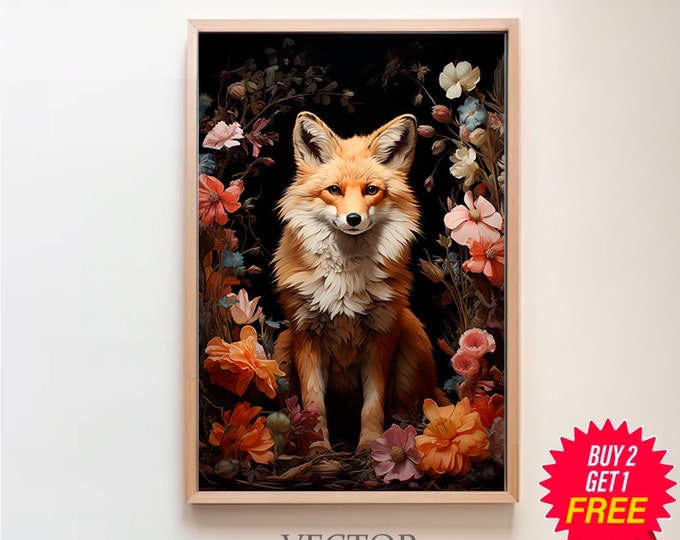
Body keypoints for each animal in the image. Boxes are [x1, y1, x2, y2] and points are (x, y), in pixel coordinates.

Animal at [273, 111, 447, 453]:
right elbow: (313, 404)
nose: (353, 219)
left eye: (371, 190)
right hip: (282, 348)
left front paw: (369, 446)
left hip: (411, 339)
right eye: (334, 190)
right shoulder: (305, 334)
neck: (346, 277)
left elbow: (373, 404)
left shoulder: (381, 335)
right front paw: (318, 450)